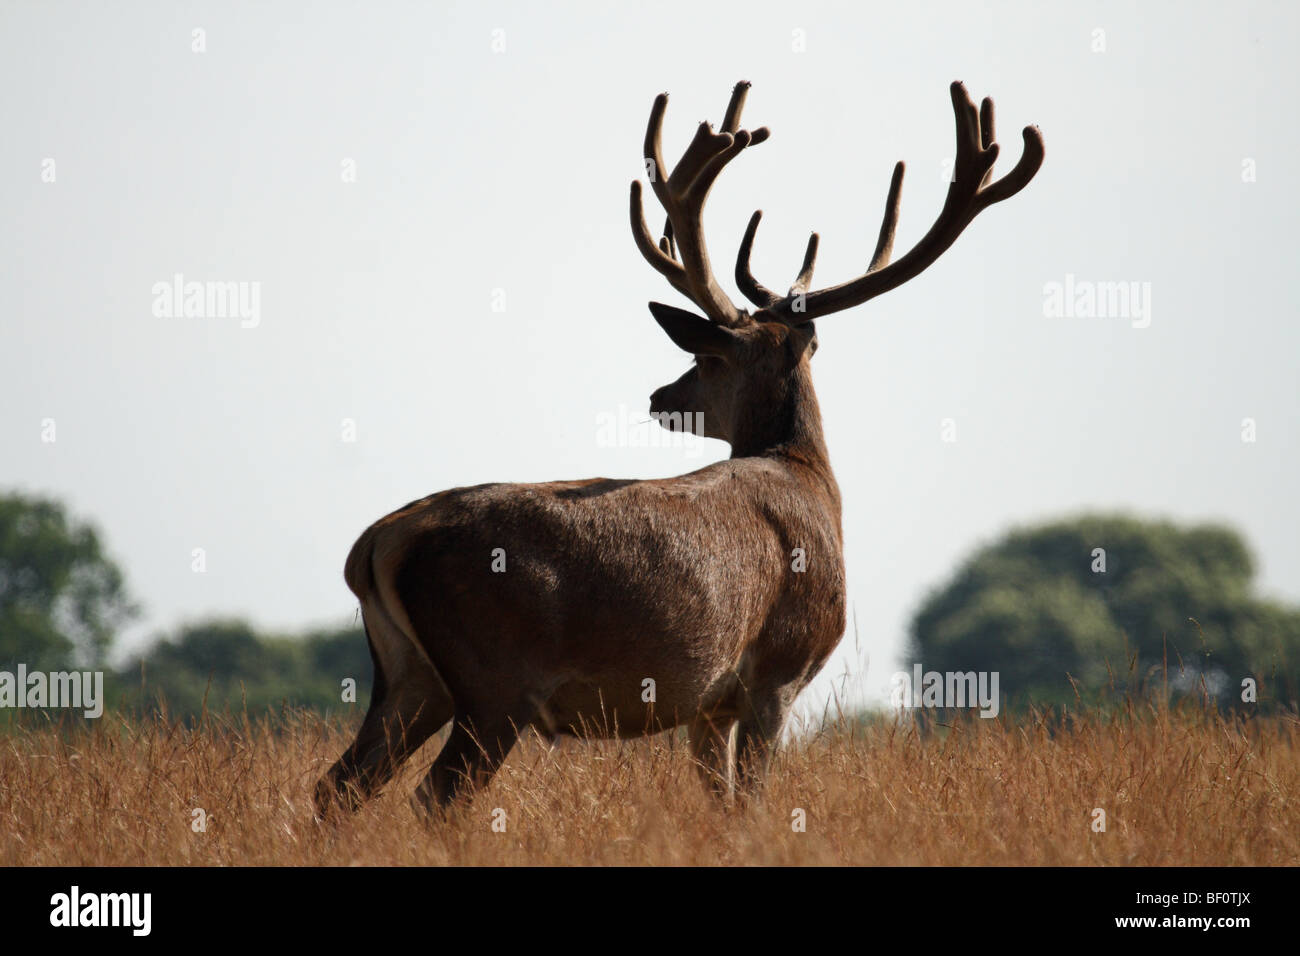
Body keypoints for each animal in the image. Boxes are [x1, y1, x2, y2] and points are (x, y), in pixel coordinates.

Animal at [313, 80, 1043, 820]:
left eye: (705, 359)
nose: (661, 394)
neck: (811, 482)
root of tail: (375, 543)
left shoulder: (708, 705)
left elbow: (720, 804)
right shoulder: (776, 670)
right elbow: (750, 801)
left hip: (409, 677)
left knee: (337, 786)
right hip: (494, 681)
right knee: (432, 798)